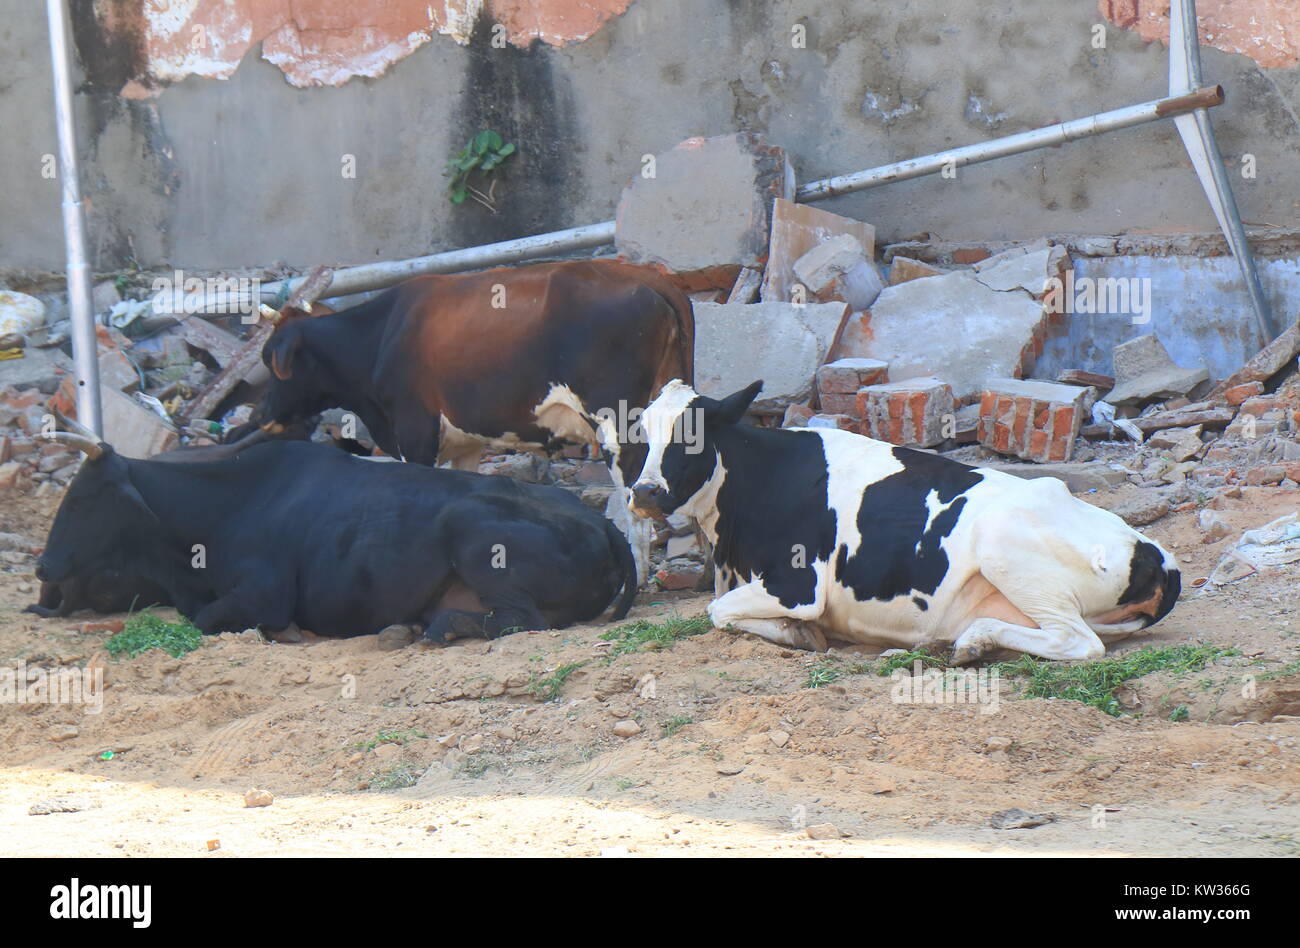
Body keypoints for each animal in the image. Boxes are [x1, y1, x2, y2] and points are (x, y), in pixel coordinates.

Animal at [36, 433, 636, 641]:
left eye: (82, 499)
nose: (42, 568)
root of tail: (603, 523)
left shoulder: (264, 595)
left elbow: (209, 620)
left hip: (474, 535)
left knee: (519, 621)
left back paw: (435, 628)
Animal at [242, 259, 694, 584]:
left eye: (268, 357)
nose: (260, 415)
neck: (379, 338)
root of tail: (643, 274)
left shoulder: (415, 433)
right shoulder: (466, 445)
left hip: (617, 421)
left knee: (635, 495)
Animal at [627, 380, 1182, 663]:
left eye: (695, 434)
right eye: (644, 431)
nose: (645, 492)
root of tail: (1156, 553)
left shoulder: (797, 586)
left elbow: (717, 610)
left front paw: (797, 635)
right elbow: (718, 607)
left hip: (1007, 549)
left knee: (1080, 642)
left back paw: (972, 641)